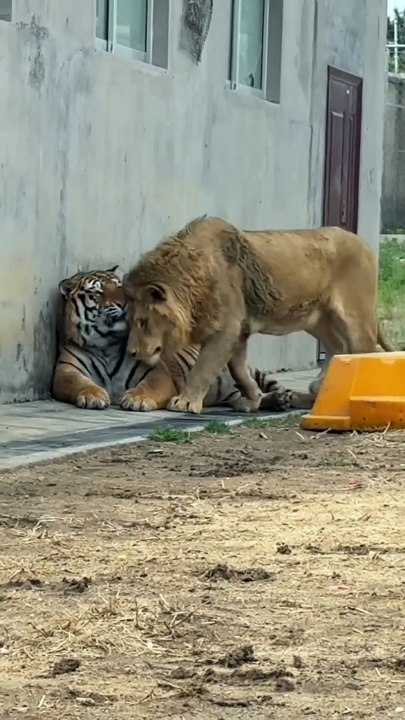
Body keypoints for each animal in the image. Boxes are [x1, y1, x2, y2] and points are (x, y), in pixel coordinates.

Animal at [52, 267, 315, 412]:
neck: (106, 344)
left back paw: (290, 399)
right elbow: (79, 383)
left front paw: (137, 400)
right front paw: (93, 395)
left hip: (248, 371)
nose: (126, 303)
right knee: (251, 398)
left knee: (271, 388)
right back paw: (275, 401)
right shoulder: (65, 371)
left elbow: (150, 386)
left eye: (120, 287)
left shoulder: (159, 372)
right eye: (97, 292)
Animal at [123, 215, 392, 415]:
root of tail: (365, 244)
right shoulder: (239, 331)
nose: (131, 353)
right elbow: (239, 371)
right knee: (337, 351)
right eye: (131, 321)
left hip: (356, 320)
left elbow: (204, 367)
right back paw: (304, 395)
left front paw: (185, 402)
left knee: (364, 353)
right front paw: (253, 400)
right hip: (320, 321)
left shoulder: (227, 329)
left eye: (143, 322)